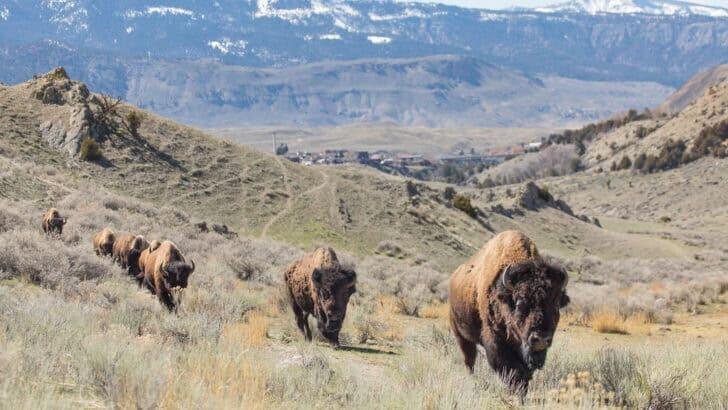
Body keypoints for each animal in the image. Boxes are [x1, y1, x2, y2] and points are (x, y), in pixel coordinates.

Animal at [449, 230, 569, 394]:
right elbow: (510, 369)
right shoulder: (495, 340)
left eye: (556, 305)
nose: (540, 339)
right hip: (460, 334)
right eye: (519, 304)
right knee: (469, 358)